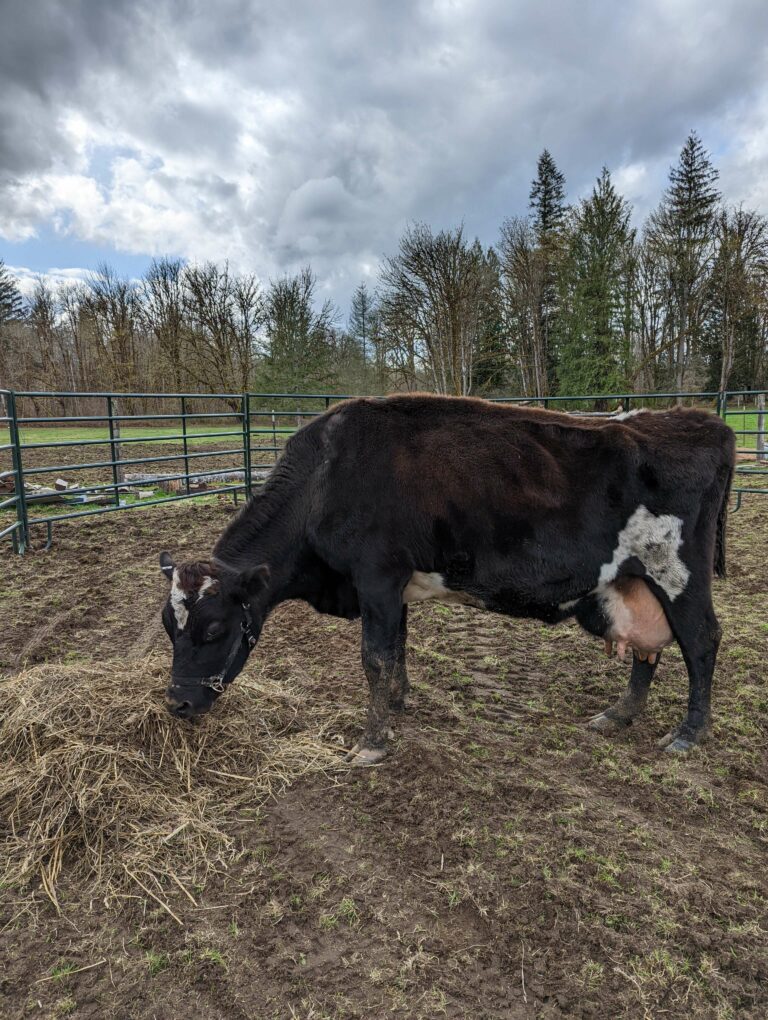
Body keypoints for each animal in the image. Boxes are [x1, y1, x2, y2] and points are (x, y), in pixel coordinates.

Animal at [159, 394, 735, 764]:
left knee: (702, 640)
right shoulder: (395, 587)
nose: (177, 704)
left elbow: (374, 657)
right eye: (169, 626)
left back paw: (689, 733)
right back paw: (620, 713)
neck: (325, 479)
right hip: (636, 583)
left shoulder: (375, 577)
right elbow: (398, 647)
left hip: (677, 573)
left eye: (215, 629)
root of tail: (698, 421)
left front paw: (372, 741)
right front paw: (399, 703)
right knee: (647, 649)